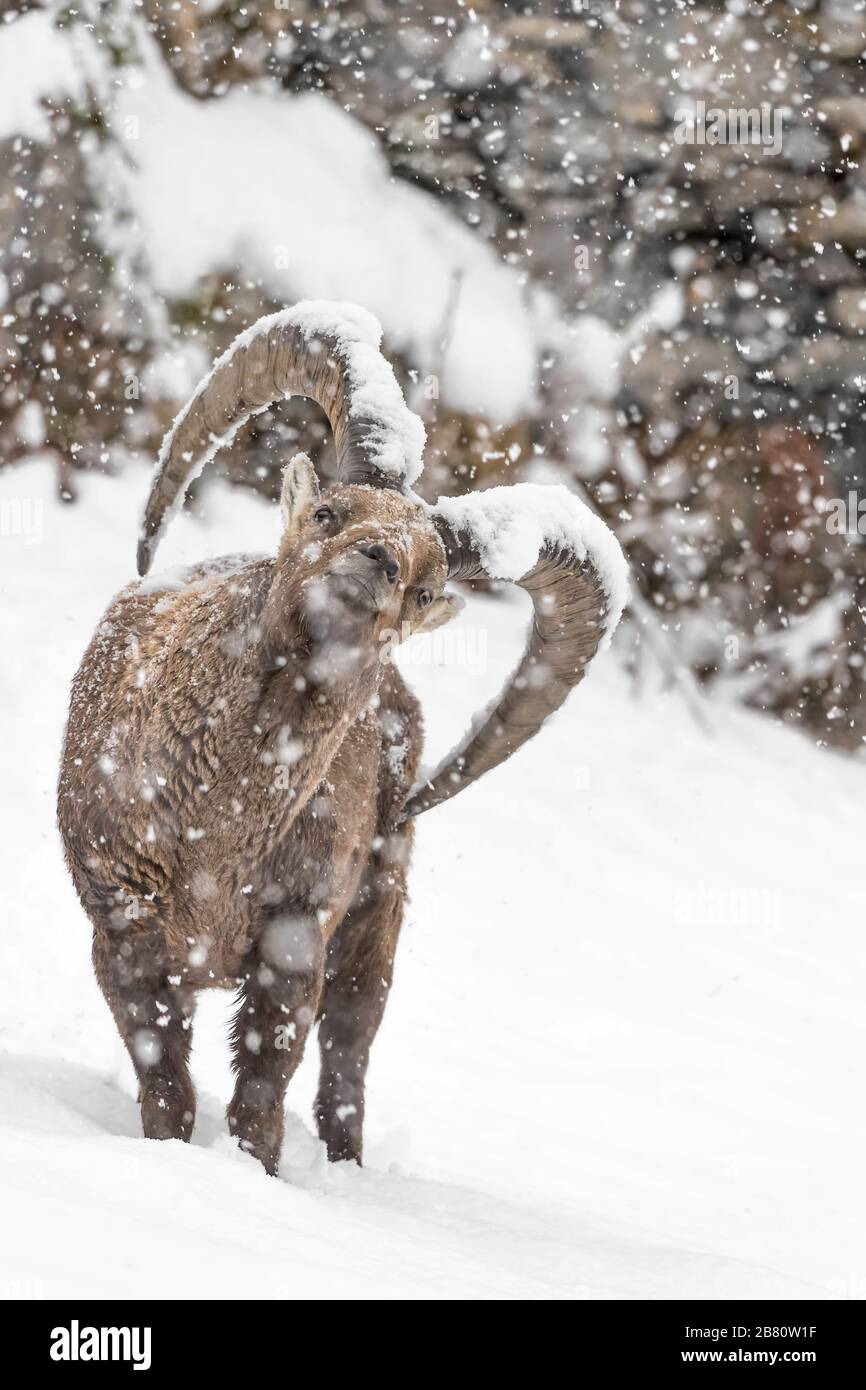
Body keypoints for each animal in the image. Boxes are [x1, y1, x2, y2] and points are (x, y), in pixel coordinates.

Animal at [57, 302, 626, 1174]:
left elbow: (263, 1090)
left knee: (348, 1061)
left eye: (427, 585)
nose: (377, 563)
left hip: (376, 917)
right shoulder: (122, 912)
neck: (217, 829)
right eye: (329, 512)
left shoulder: (294, 941)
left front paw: (254, 1175)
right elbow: (165, 1075)